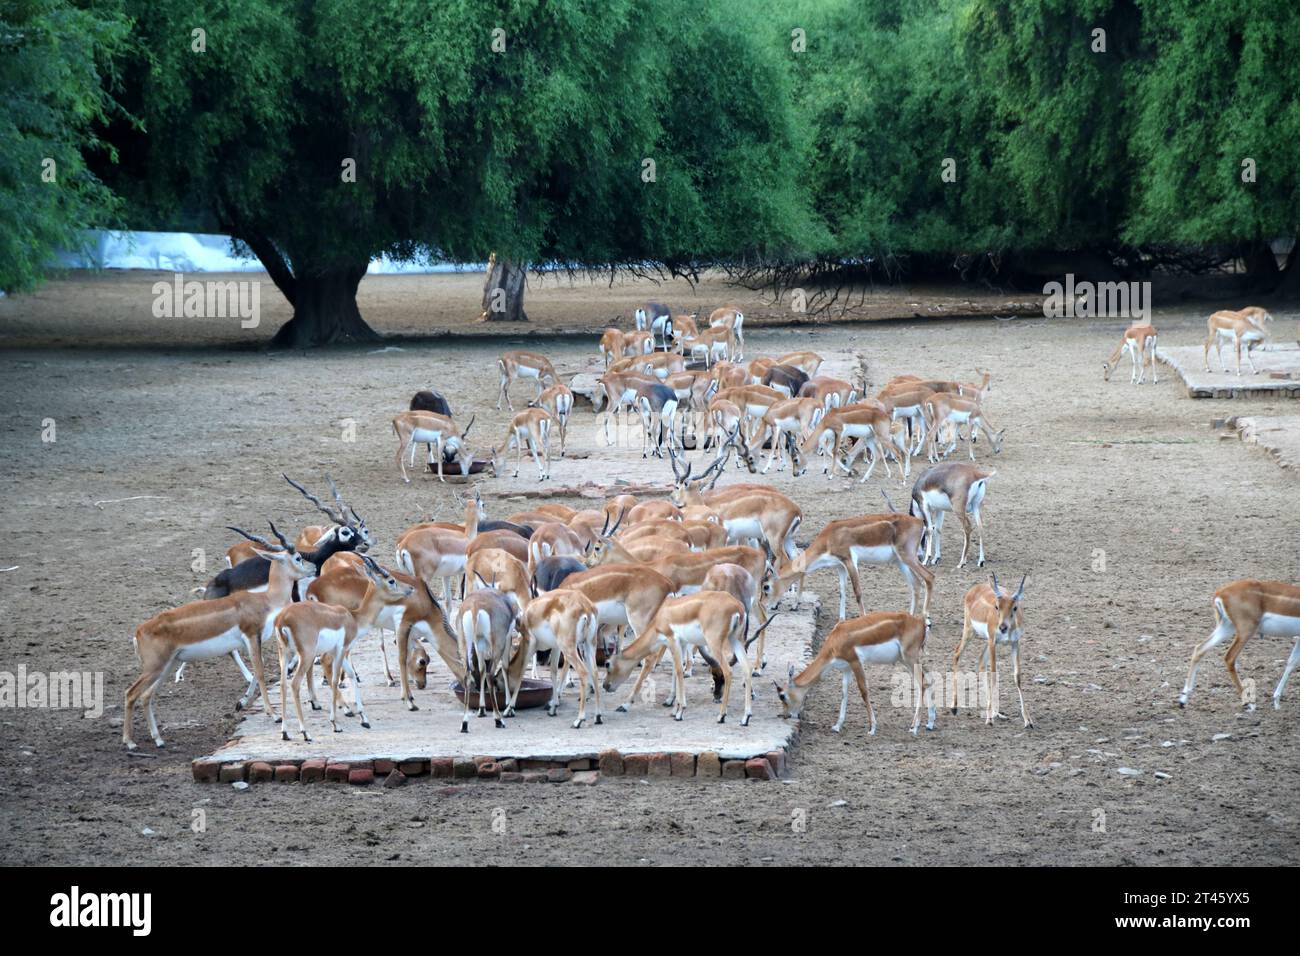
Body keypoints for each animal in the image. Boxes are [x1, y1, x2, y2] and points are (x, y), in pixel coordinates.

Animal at [774, 611, 935, 736]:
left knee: (922, 682)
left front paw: (872, 728)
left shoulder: (856, 662)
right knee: (928, 680)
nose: (786, 715)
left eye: (782, 696)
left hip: (909, 657)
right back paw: (929, 724)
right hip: (906, 660)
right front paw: (837, 726)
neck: (835, 640)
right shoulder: (846, 668)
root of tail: (920, 622)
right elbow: (844, 694)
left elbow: (864, 692)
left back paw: (914, 728)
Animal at [951, 573, 1031, 727]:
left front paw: (1028, 720)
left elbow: (1017, 676)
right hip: (970, 631)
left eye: (1015, 607)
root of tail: (974, 588)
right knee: (957, 653)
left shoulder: (1015, 643)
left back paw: (996, 713)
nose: (1003, 627)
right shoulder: (993, 642)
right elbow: (994, 675)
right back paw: (954, 708)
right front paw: (988, 719)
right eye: (997, 606)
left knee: (981, 662)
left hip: (987, 641)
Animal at [1178, 580, 1300, 712]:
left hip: (1227, 627)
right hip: (1245, 631)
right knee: (1229, 658)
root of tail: (1221, 593)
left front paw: (1276, 701)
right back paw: (1249, 704)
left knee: (1200, 649)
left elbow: (1291, 662)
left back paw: (1183, 700)